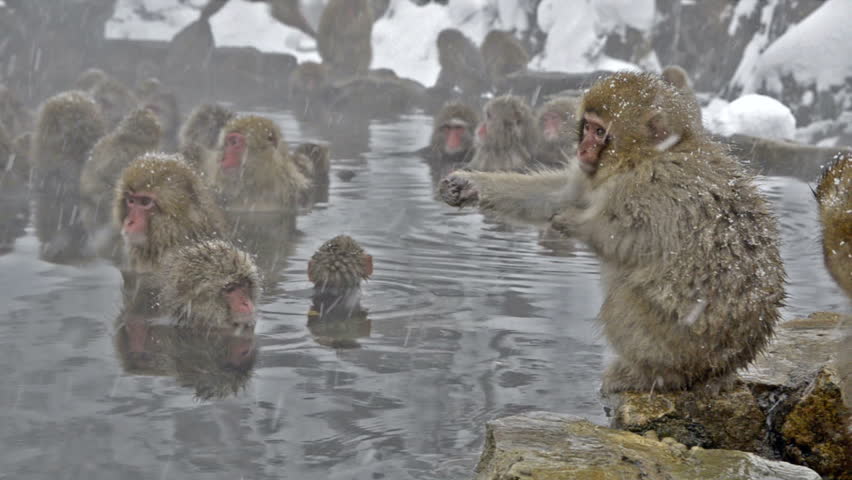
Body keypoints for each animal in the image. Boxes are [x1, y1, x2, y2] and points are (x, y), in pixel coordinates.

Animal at [440, 72, 786, 393]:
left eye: (599, 132)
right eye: (587, 127)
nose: (582, 147)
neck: (643, 157)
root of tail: (728, 364)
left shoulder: (657, 187)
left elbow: (636, 241)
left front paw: (573, 222)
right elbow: (561, 195)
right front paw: (469, 185)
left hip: (677, 341)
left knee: (623, 295)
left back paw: (645, 375)